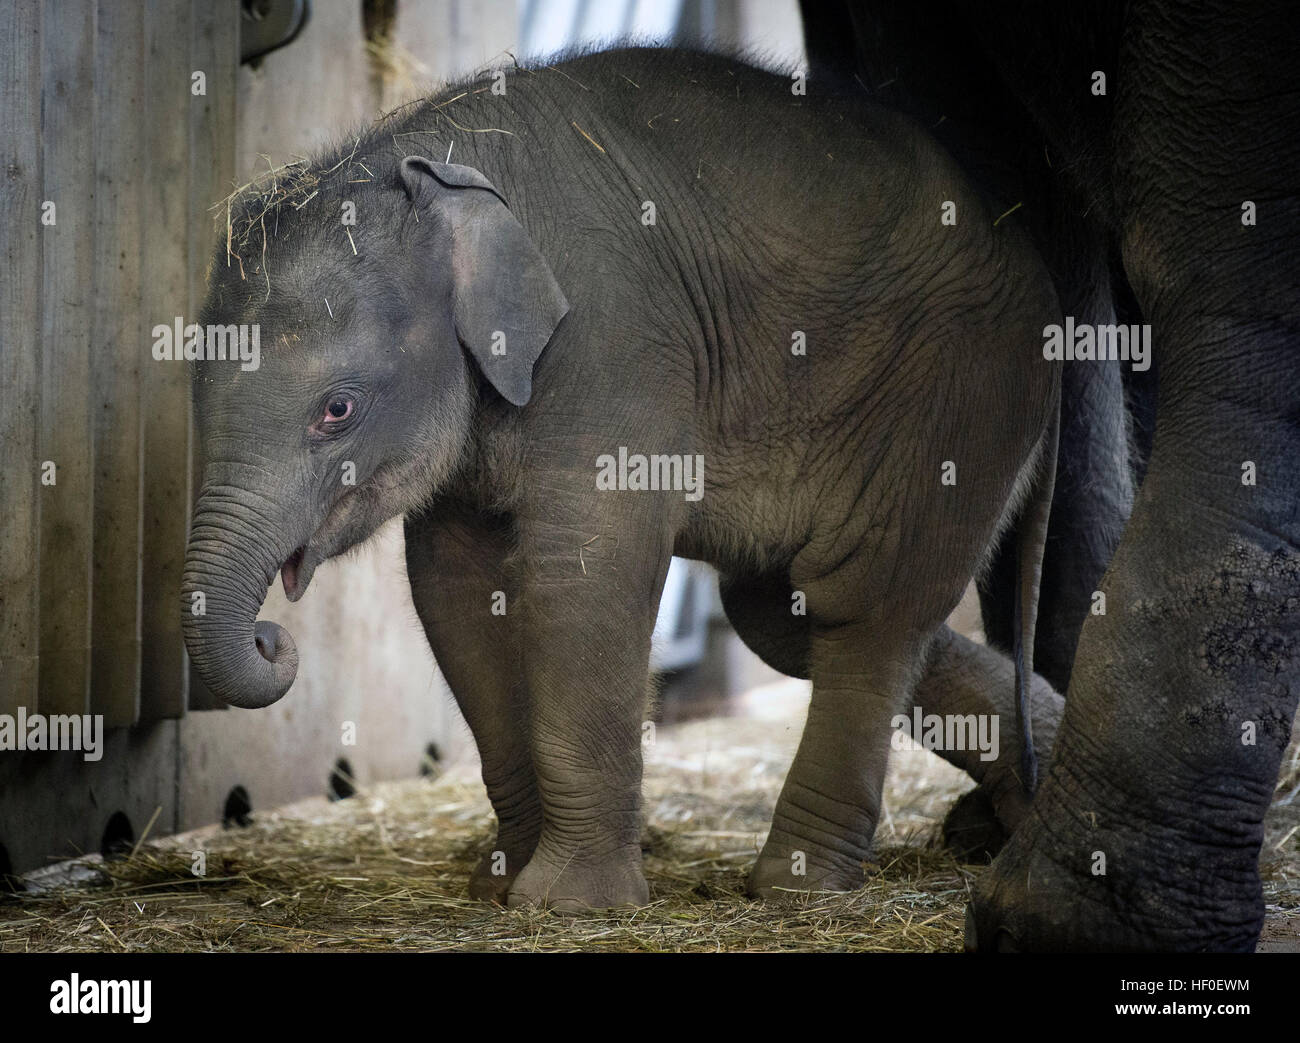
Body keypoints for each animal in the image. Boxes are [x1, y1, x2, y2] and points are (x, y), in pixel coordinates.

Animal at [182, 47, 1065, 909]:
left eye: (337, 409)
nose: (271, 637)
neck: (444, 163)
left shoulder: (611, 340)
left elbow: (587, 570)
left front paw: (570, 904)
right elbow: (454, 587)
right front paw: (499, 883)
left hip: (960, 393)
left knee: (865, 605)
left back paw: (797, 887)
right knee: (780, 610)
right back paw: (1034, 784)